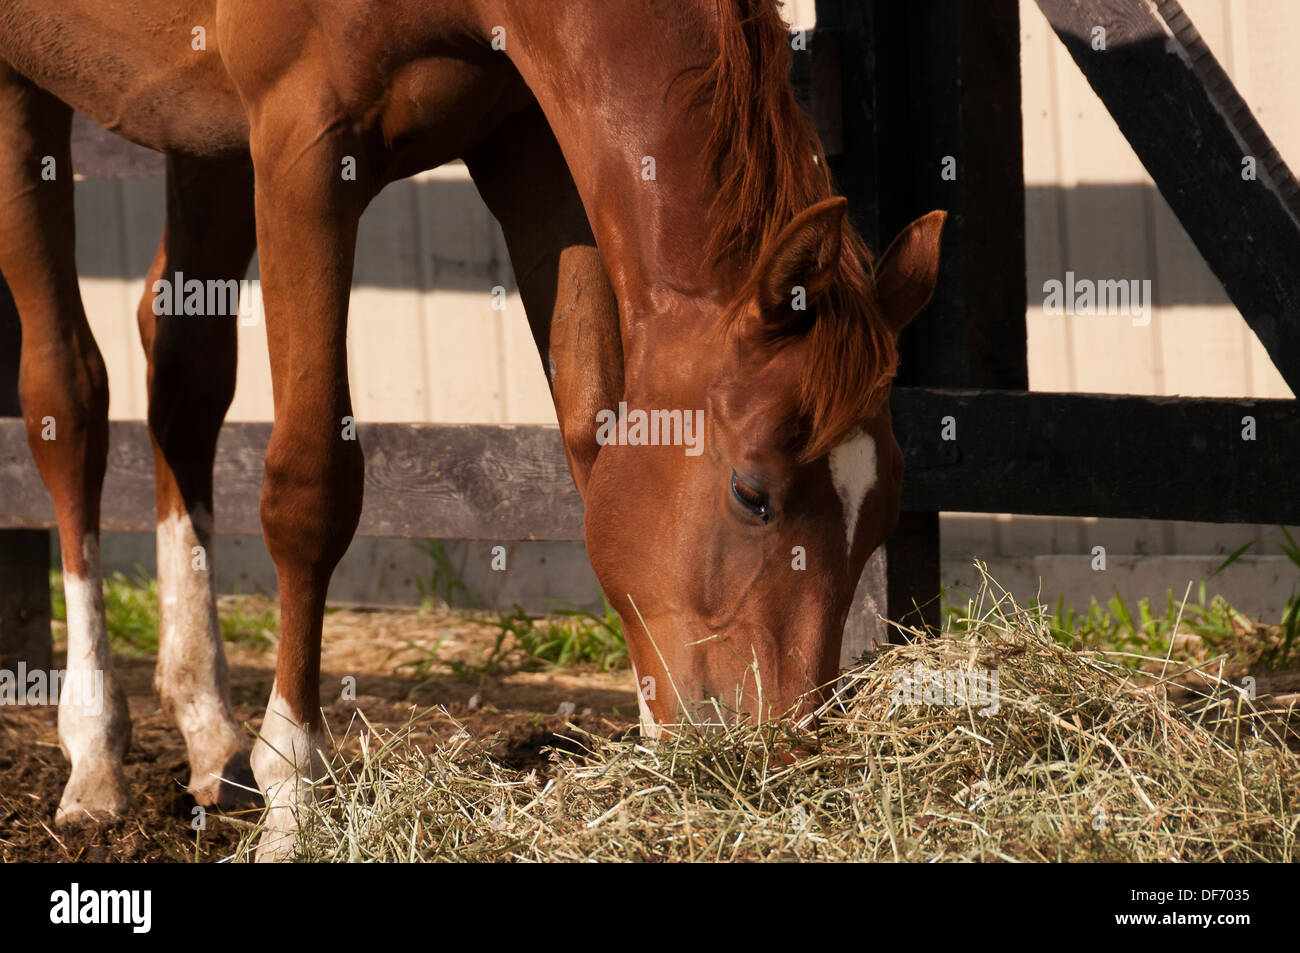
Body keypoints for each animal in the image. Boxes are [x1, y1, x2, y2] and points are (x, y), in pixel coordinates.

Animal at [0, 0, 943, 859]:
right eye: (753, 495)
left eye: (880, 521)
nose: (781, 758)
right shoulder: (304, 144)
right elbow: (311, 485)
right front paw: (295, 797)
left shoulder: (529, 148)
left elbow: (593, 433)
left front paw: (646, 747)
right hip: (30, 89)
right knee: (69, 401)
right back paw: (96, 755)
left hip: (204, 134)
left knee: (183, 379)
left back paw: (206, 729)